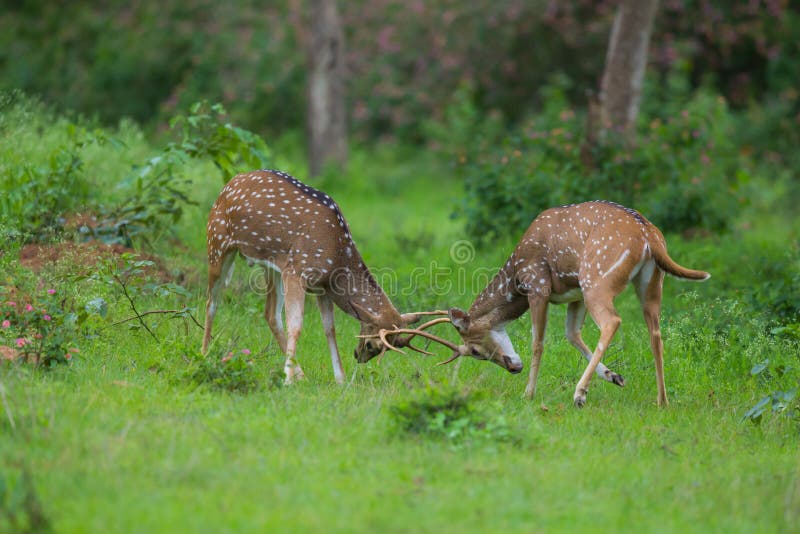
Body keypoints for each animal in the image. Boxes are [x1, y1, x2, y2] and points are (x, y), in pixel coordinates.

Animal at [202, 169, 445, 384]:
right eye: (372, 345)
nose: (358, 357)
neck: (336, 255)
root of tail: (230, 182)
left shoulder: (321, 286)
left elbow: (330, 329)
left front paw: (340, 379)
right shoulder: (297, 270)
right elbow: (296, 325)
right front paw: (287, 380)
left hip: (272, 266)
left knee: (270, 313)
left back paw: (301, 374)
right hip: (217, 242)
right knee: (211, 302)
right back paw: (204, 355)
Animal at [367, 201, 710, 408]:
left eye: (474, 350)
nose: (512, 368)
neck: (515, 277)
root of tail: (649, 236)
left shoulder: (539, 286)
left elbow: (538, 342)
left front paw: (529, 393)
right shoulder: (573, 294)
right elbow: (572, 335)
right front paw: (615, 376)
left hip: (597, 277)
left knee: (613, 321)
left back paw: (579, 394)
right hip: (649, 283)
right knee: (656, 333)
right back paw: (662, 400)